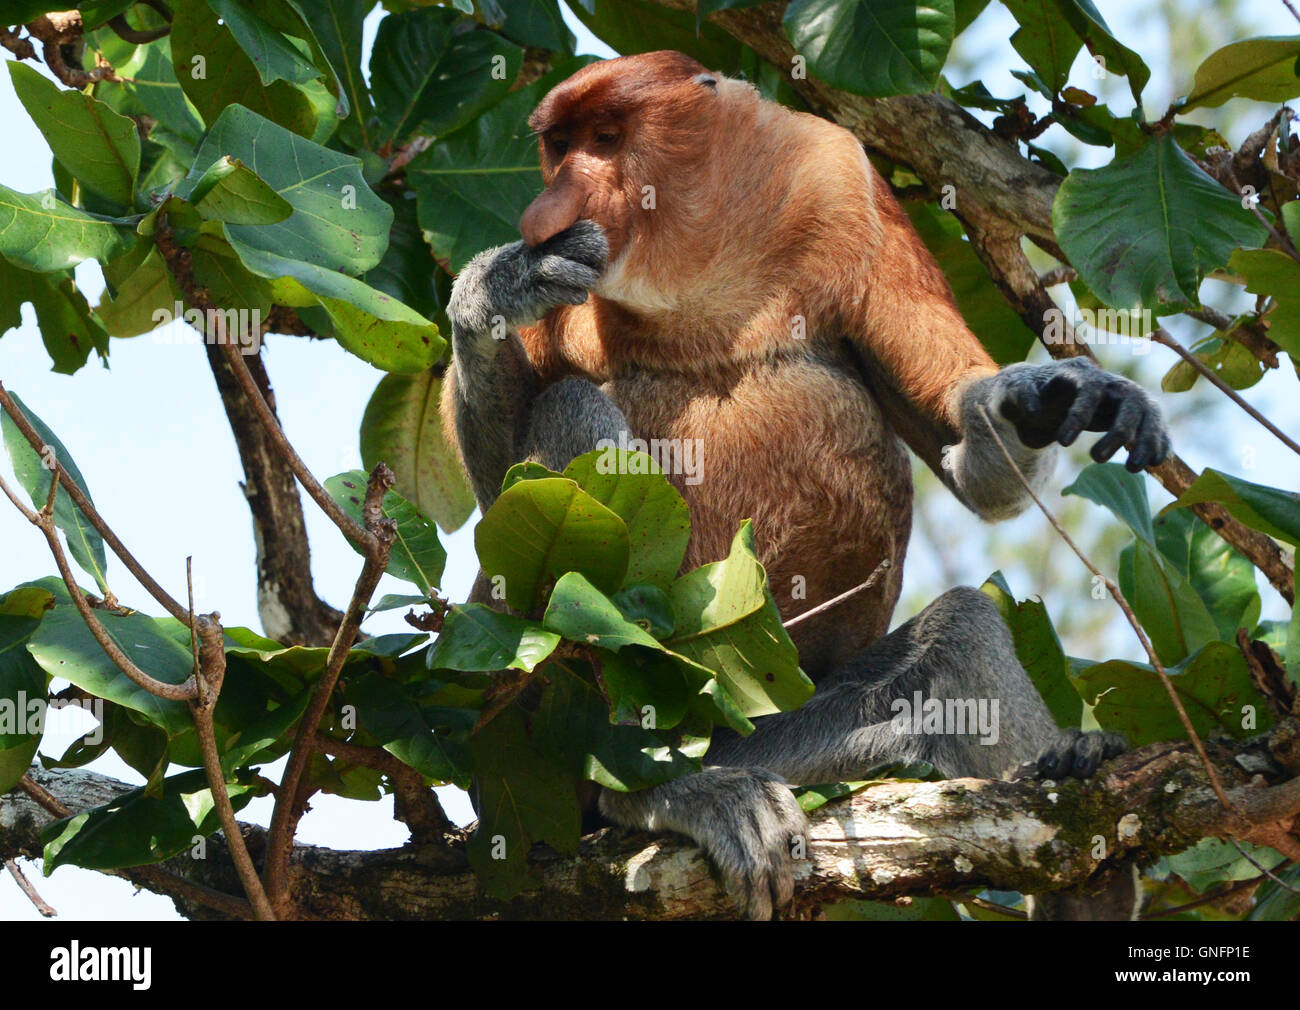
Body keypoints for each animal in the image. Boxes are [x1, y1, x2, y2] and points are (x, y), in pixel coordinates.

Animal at [441, 51, 1169, 920]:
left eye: (607, 140)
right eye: (559, 150)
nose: (548, 208)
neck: (695, 258)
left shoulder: (839, 177)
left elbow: (965, 454)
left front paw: (1042, 400)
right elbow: (502, 495)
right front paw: (497, 285)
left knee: (961, 634)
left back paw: (1076, 824)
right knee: (568, 412)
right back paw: (663, 787)